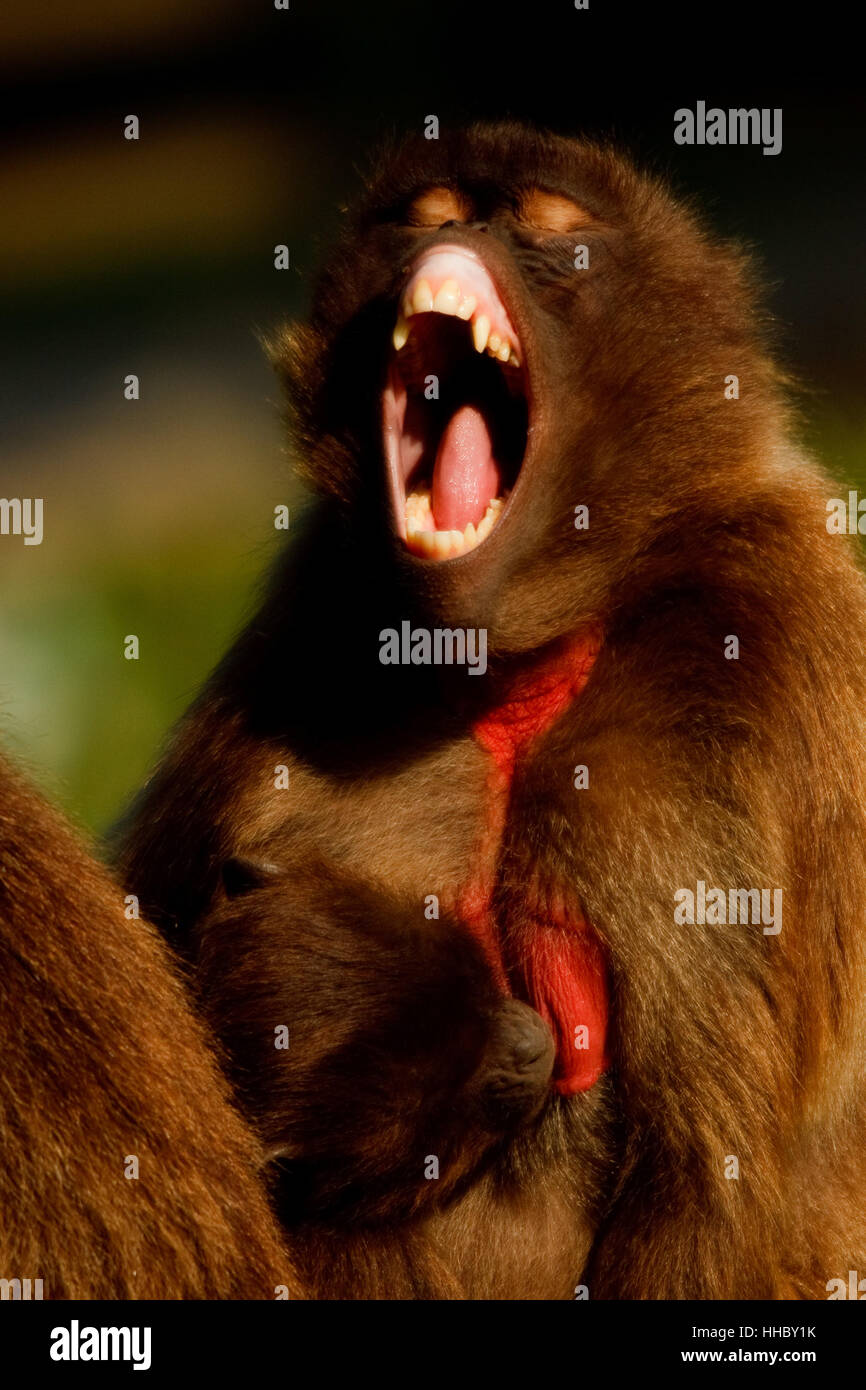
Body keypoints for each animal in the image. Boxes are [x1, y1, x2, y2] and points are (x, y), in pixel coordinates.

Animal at [116, 121, 866, 1298]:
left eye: (550, 235)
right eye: (425, 217)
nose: (460, 236)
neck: (517, 675)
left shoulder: (780, 653)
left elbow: (719, 1205)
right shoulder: (303, 635)